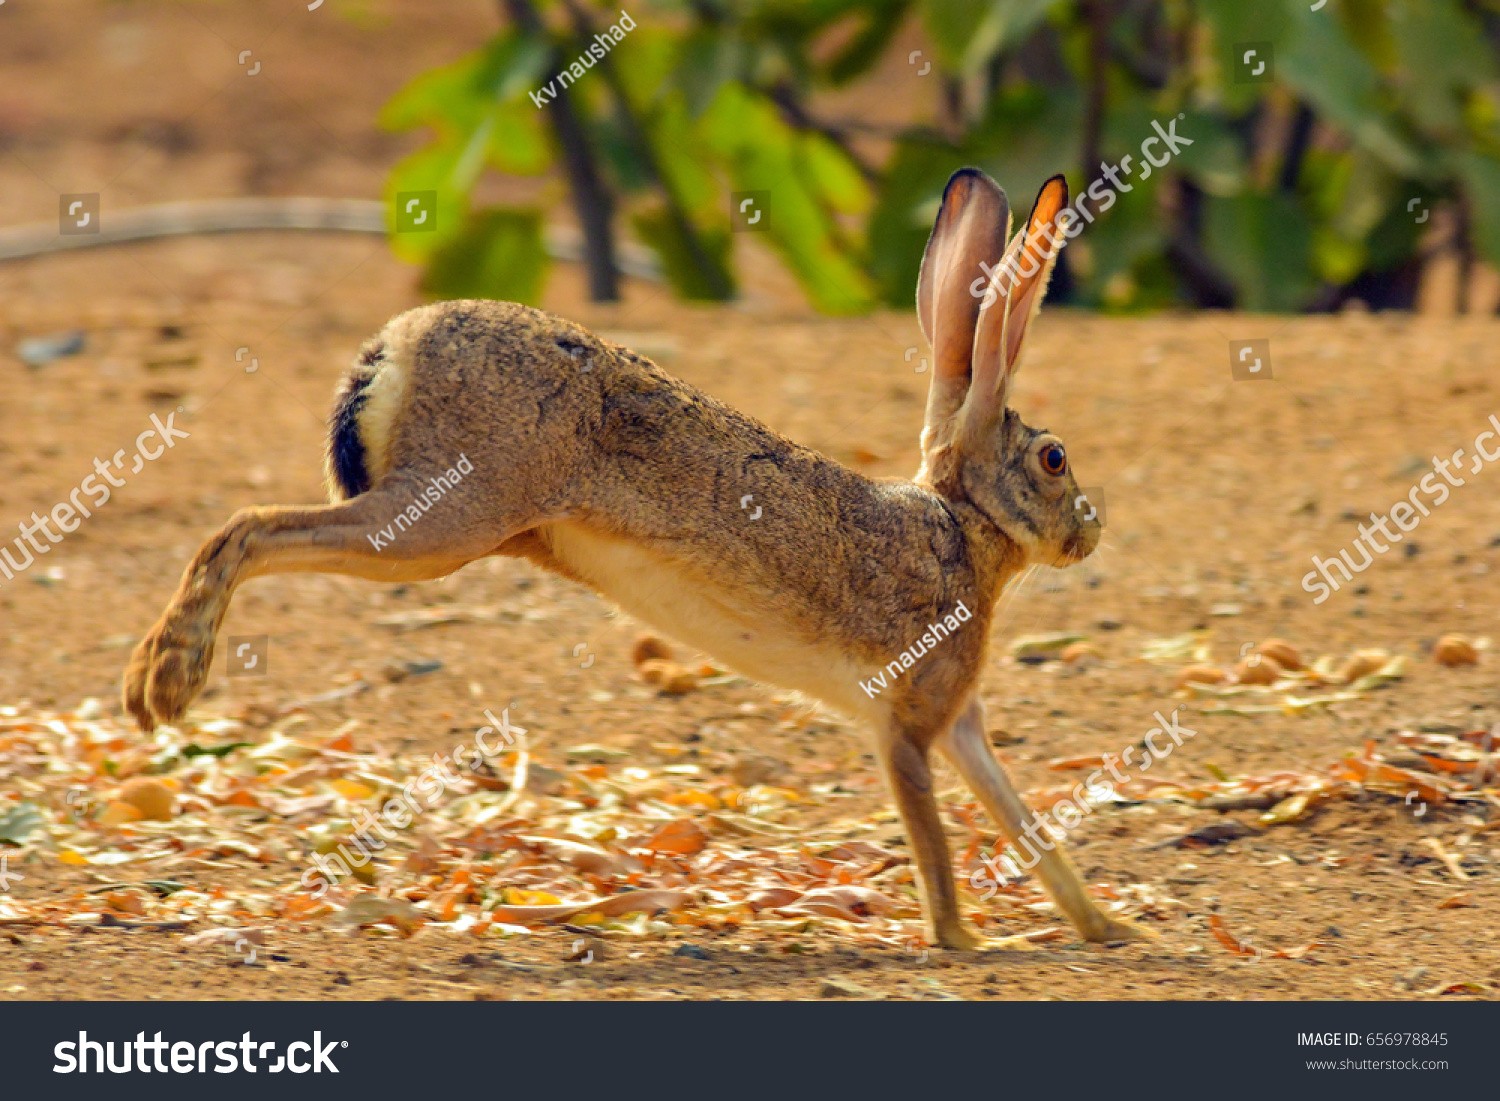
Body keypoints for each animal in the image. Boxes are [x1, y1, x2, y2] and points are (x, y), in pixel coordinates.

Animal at [123, 166, 1137, 949]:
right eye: (1053, 459)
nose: (1090, 531)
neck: (961, 525)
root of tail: (390, 350)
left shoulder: (958, 723)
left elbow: (1023, 818)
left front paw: (1107, 928)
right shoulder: (908, 726)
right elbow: (931, 833)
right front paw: (963, 939)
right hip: (433, 524)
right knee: (247, 527)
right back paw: (166, 682)